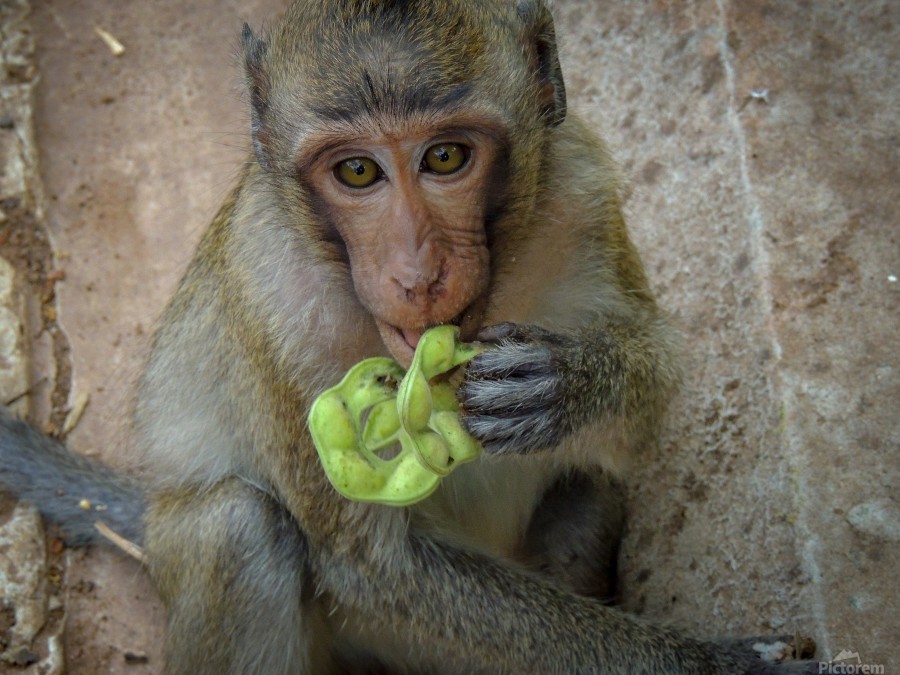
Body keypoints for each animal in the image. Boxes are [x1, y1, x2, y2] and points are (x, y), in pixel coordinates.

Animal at [0, 1, 822, 673]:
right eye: (358, 172)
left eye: (446, 157)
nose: (416, 273)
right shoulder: (275, 298)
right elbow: (377, 571)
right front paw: (724, 665)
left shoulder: (582, 185)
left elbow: (641, 416)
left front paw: (573, 385)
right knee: (237, 526)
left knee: (586, 475)